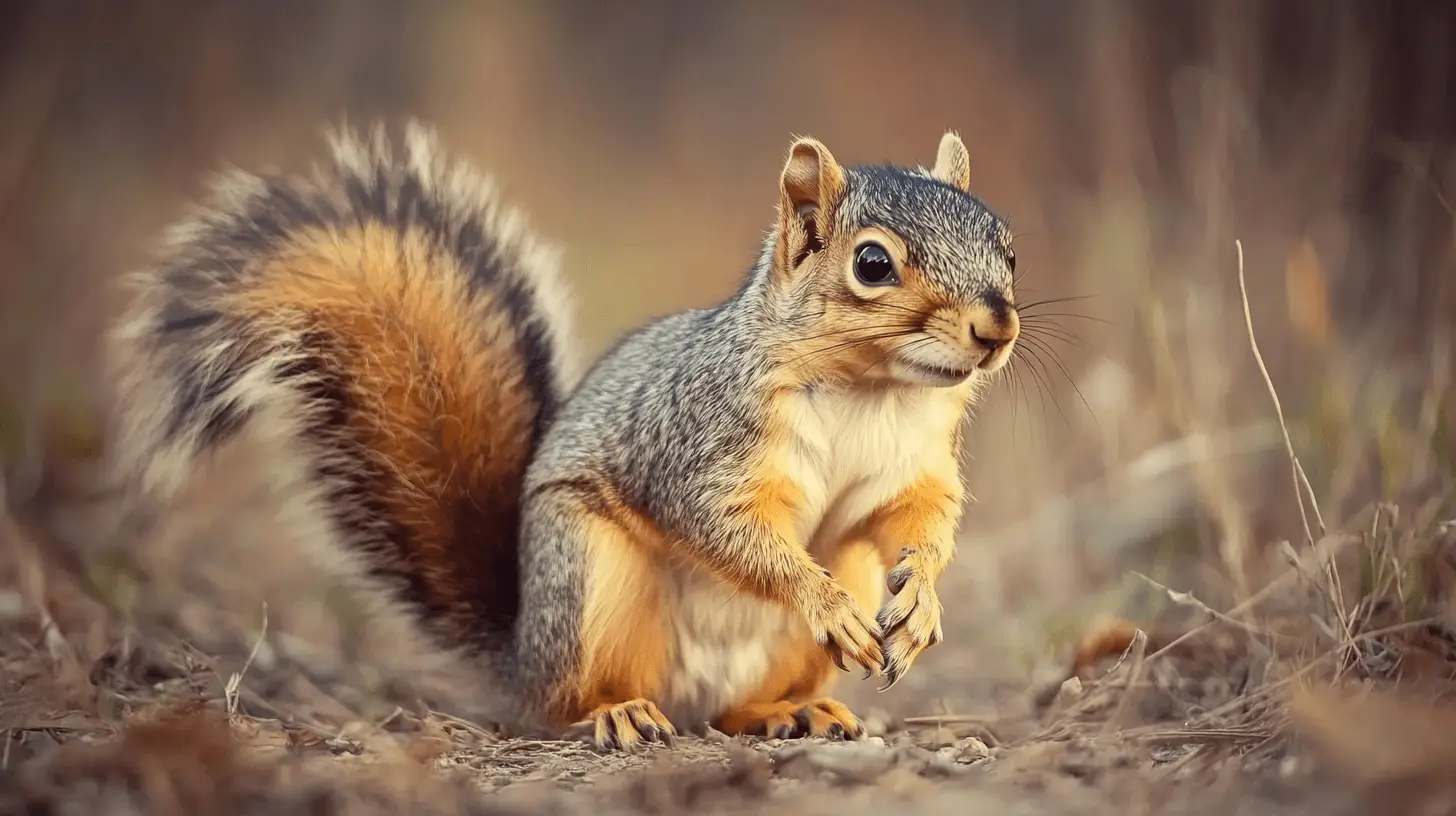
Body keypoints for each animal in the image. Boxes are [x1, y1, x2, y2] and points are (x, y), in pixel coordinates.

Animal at [99, 121, 1020, 752]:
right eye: (872, 264)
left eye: (1006, 245)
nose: (996, 327)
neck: (873, 392)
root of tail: (520, 657)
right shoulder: (698, 447)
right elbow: (727, 532)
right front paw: (823, 600)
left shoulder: (914, 471)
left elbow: (920, 523)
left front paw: (922, 602)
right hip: (589, 581)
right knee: (569, 705)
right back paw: (616, 715)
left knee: (729, 711)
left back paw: (792, 711)